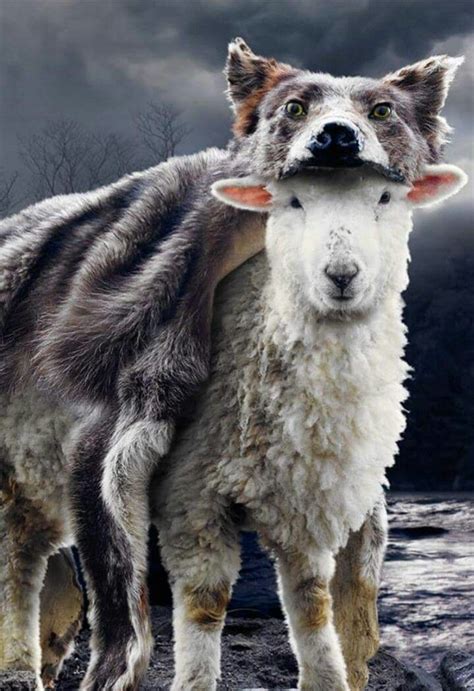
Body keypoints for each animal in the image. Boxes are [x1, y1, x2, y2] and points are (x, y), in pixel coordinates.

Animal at [151, 164, 467, 691]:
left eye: (386, 197)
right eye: (293, 201)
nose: (341, 275)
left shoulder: (309, 500)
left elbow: (312, 601)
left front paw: (328, 677)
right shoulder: (190, 498)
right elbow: (205, 605)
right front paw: (195, 679)